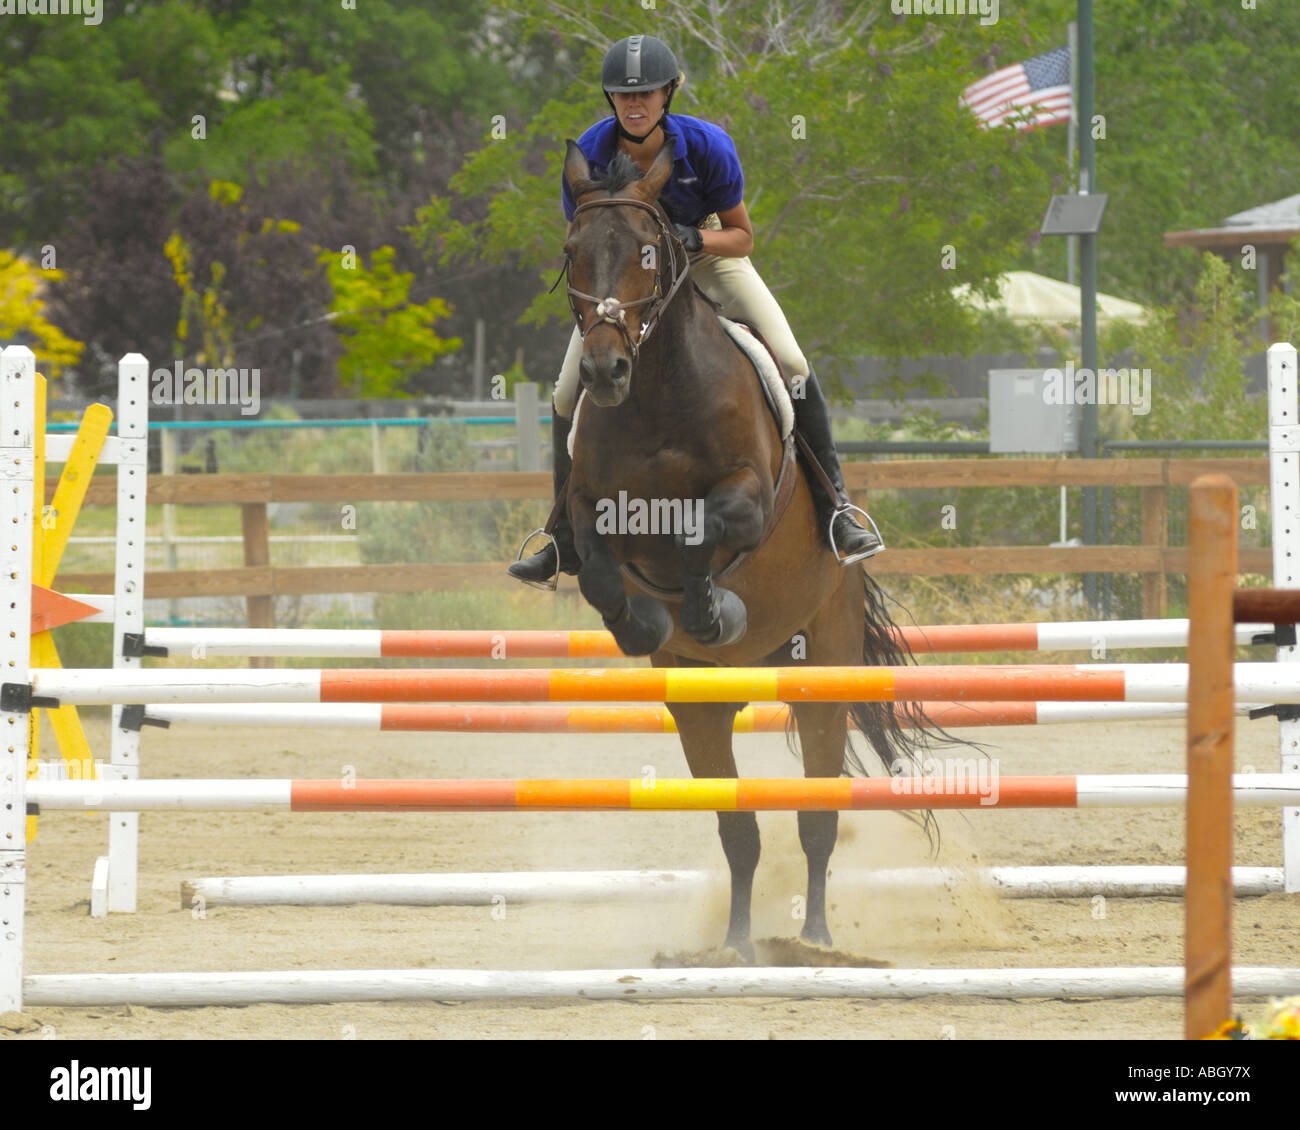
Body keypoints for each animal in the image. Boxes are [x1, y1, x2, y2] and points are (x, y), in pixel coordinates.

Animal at [556, 137, 946, 959]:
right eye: (572, 252)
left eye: (647, 252)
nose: (604, 370)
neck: (657, 393)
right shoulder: (590, 512)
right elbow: (602, 569)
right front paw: (647, 622)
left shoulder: (747, 498)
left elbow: (702, 531)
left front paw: (713, 611)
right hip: (701, 709)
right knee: (740, 829)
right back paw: (737, 943)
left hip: (824, 668)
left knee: (818, 819)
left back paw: (817, 939)